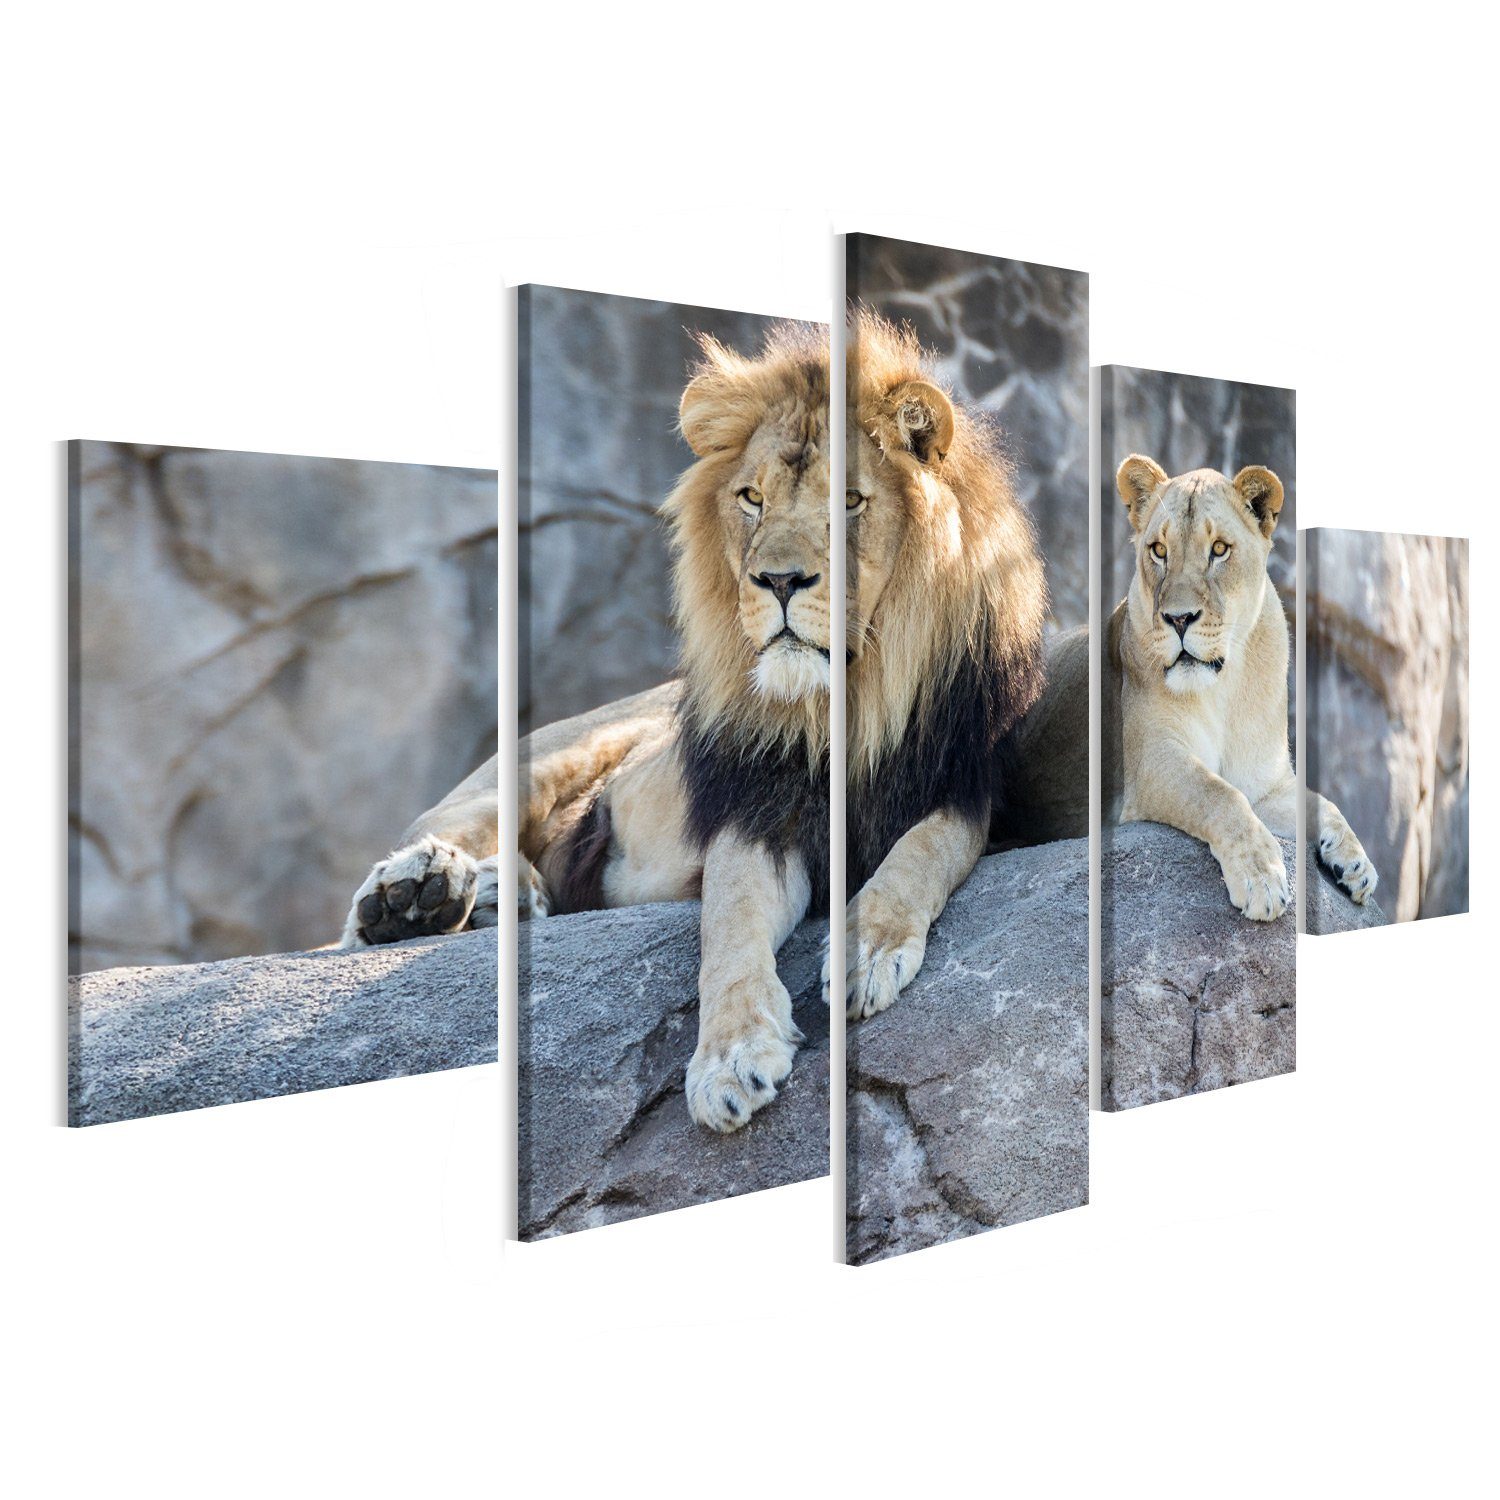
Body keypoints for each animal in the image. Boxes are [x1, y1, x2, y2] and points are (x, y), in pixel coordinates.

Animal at [518, 314, 1047, 1132]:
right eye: (752, 498)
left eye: (850, 501)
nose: (779, 580)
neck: (843, 705)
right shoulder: (758, 807)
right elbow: (729, 924)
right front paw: (730, 1058)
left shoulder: (962, 785)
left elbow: (919, 854)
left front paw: (864, 951)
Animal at [1108, 454, 1376, 918]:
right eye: (1158, 550)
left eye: (1219, 550)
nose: (1178, 618)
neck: (1222, 688)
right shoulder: (1150, 763)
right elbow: (1218, 794)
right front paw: (1262, 878)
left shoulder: (1265, 785)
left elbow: (1320, 801)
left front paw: (1356, 863)